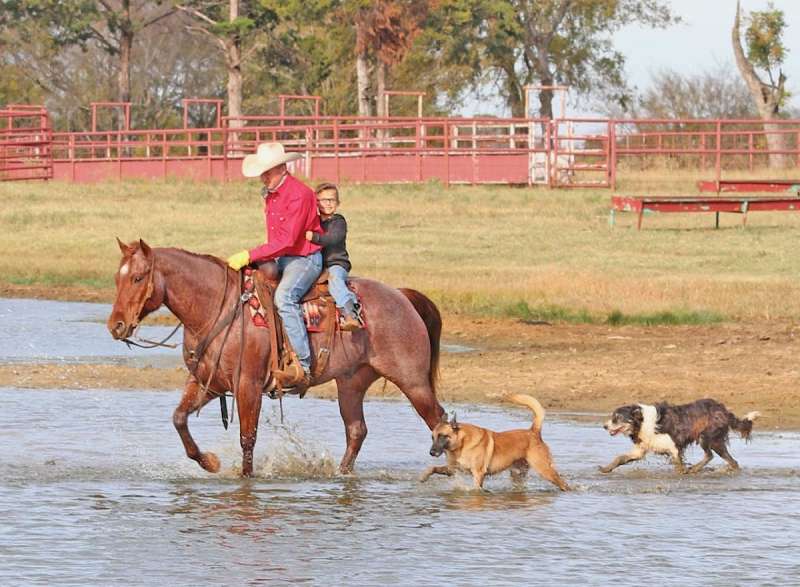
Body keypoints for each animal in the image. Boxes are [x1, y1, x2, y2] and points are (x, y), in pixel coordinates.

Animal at [107, 239, 444, 476]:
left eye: (138, 278)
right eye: (117, 278)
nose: (116, 325)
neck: (218, 307)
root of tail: (401, 296)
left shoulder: (248, 385)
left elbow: (247, 438)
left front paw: (246, 480)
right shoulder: (209, 382)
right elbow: (179, 419)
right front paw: (210, 462)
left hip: (413, 381)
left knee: (439, 420)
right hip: (351, 383)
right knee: (356, 430)